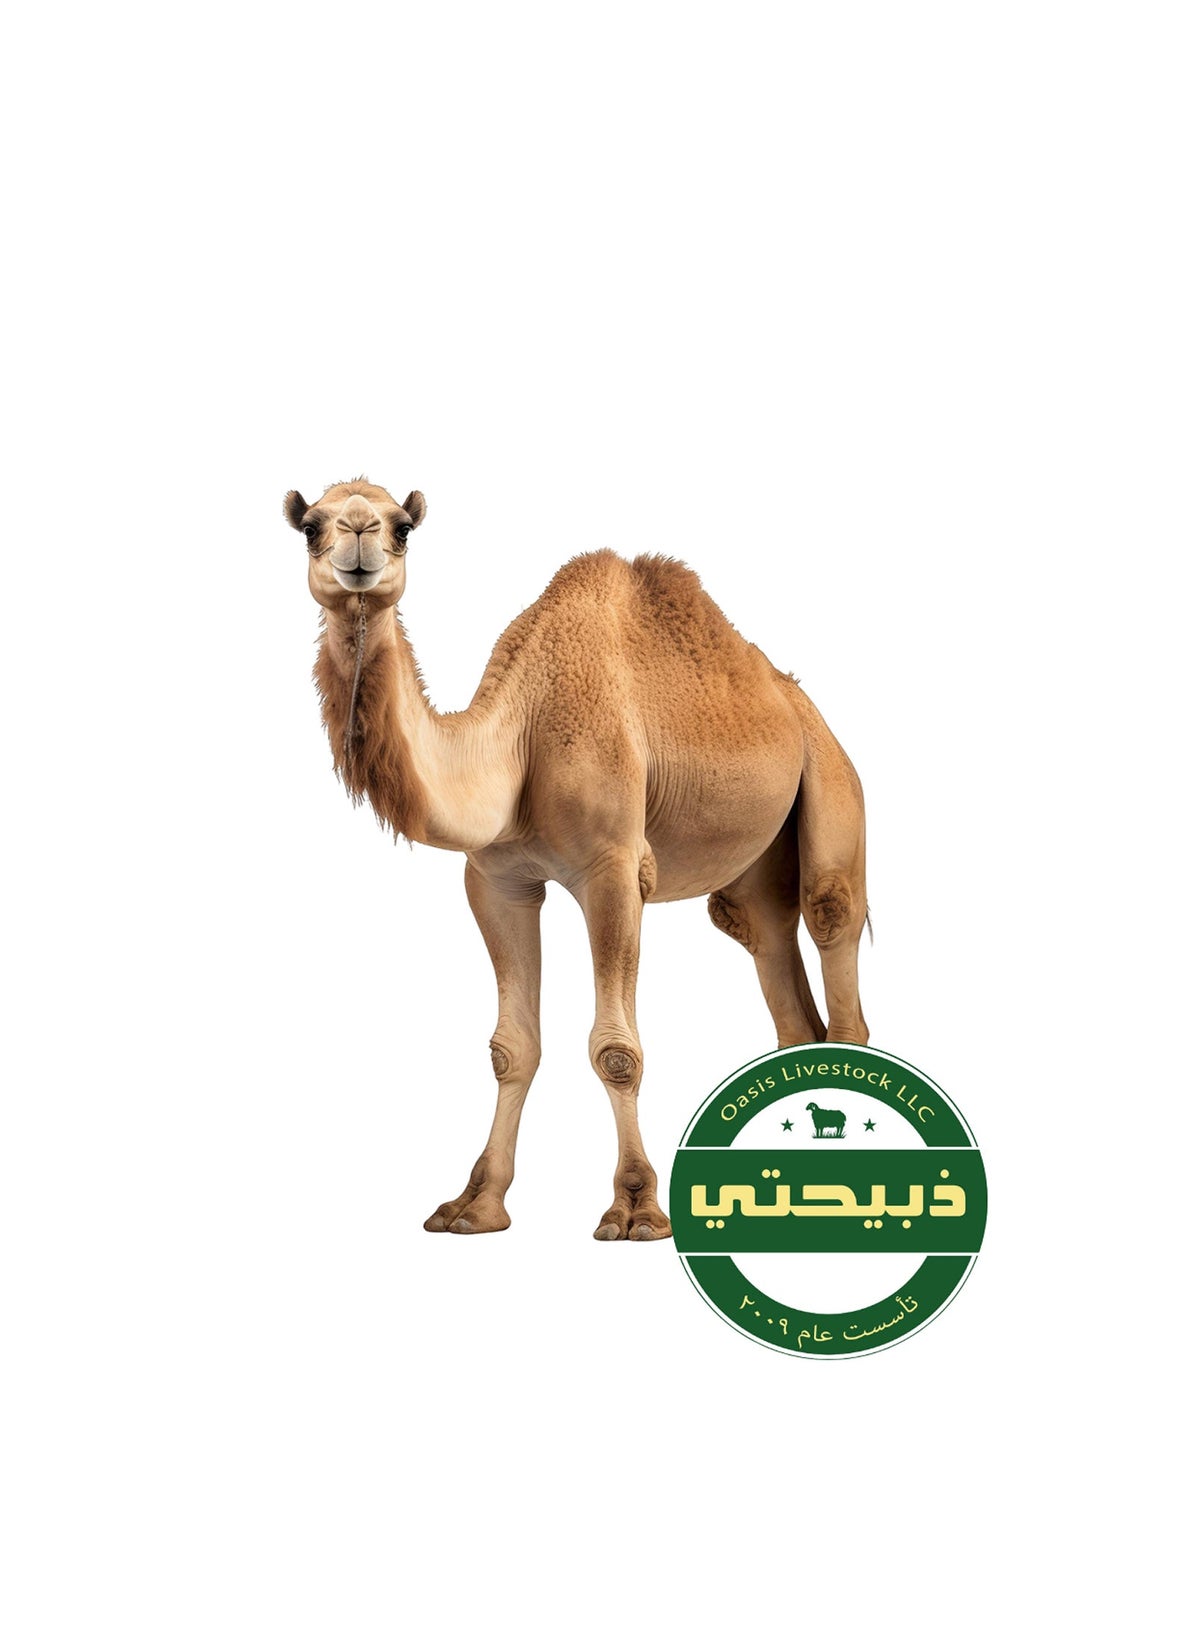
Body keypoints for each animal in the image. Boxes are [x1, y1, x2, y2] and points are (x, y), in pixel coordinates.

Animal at [284, 477, 869, 1241]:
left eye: (402, 526)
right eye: (310, 525)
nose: (357, 535)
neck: (520, 740)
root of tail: (797, 700)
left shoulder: (615, 868)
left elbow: (616, 1050)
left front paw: (637, 1209)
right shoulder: (497, 880)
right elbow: (512, 1047)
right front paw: (475, 1205)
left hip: (831, 777)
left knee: (831, 917)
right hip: (755, 864)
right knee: (767, 944)